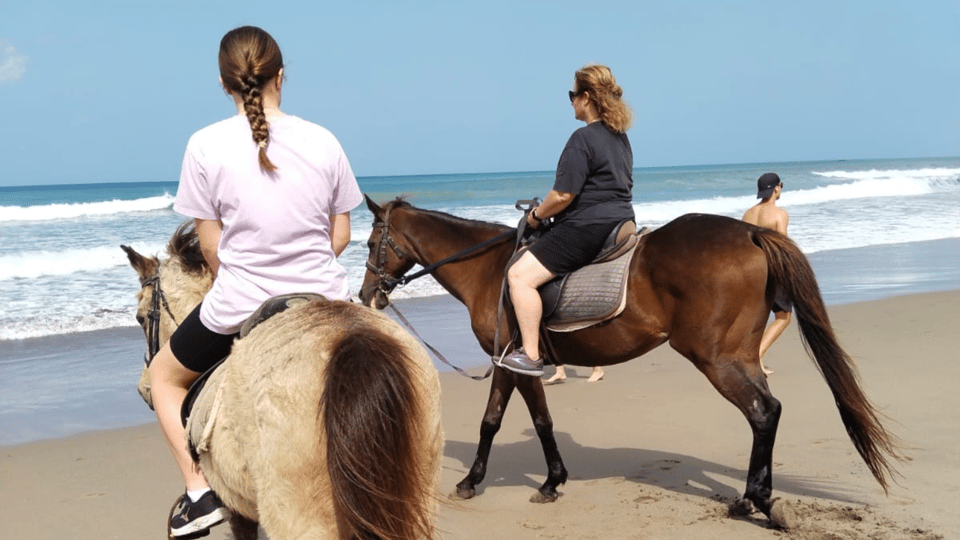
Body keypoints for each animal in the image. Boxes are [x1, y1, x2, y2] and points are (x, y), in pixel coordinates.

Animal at [358, 196, 902, 523]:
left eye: (369, 241)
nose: (367, 296)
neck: (490, 268)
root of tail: (749, 234)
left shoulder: (509, 359)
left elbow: (496, 420)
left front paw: (473, 482)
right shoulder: (519, 364)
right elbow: (541, 420)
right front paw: (553, 480)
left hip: (715, 358)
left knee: (763, 412)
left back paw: (756, 501)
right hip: (740, 355)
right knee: (768, 411)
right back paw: (754, 496)